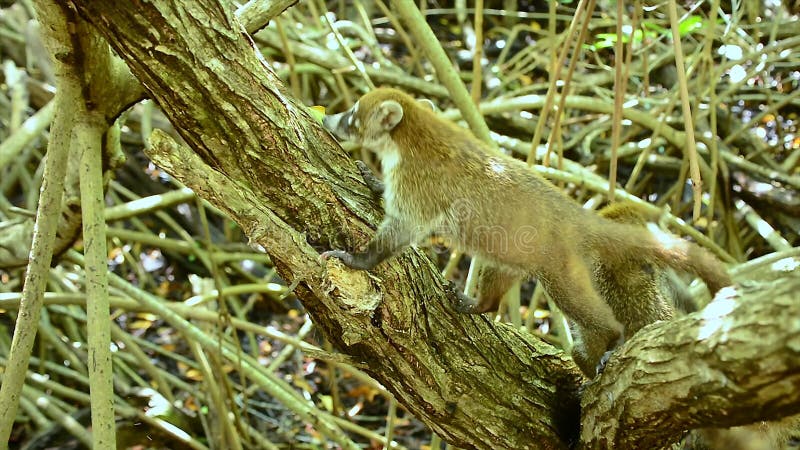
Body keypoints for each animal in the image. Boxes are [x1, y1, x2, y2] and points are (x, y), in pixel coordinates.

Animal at [320, 87, 731, 377]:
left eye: (353, 116)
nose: (327, 119)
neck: (417, 130)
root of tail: (579, 217)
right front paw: (373, 181)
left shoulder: (419, 181)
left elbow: (403, 227)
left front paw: (357, 259)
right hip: (509, 251)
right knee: (495, 281)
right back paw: (478, 303)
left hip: (561, 266)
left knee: (582, 306)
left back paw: (610, 336)